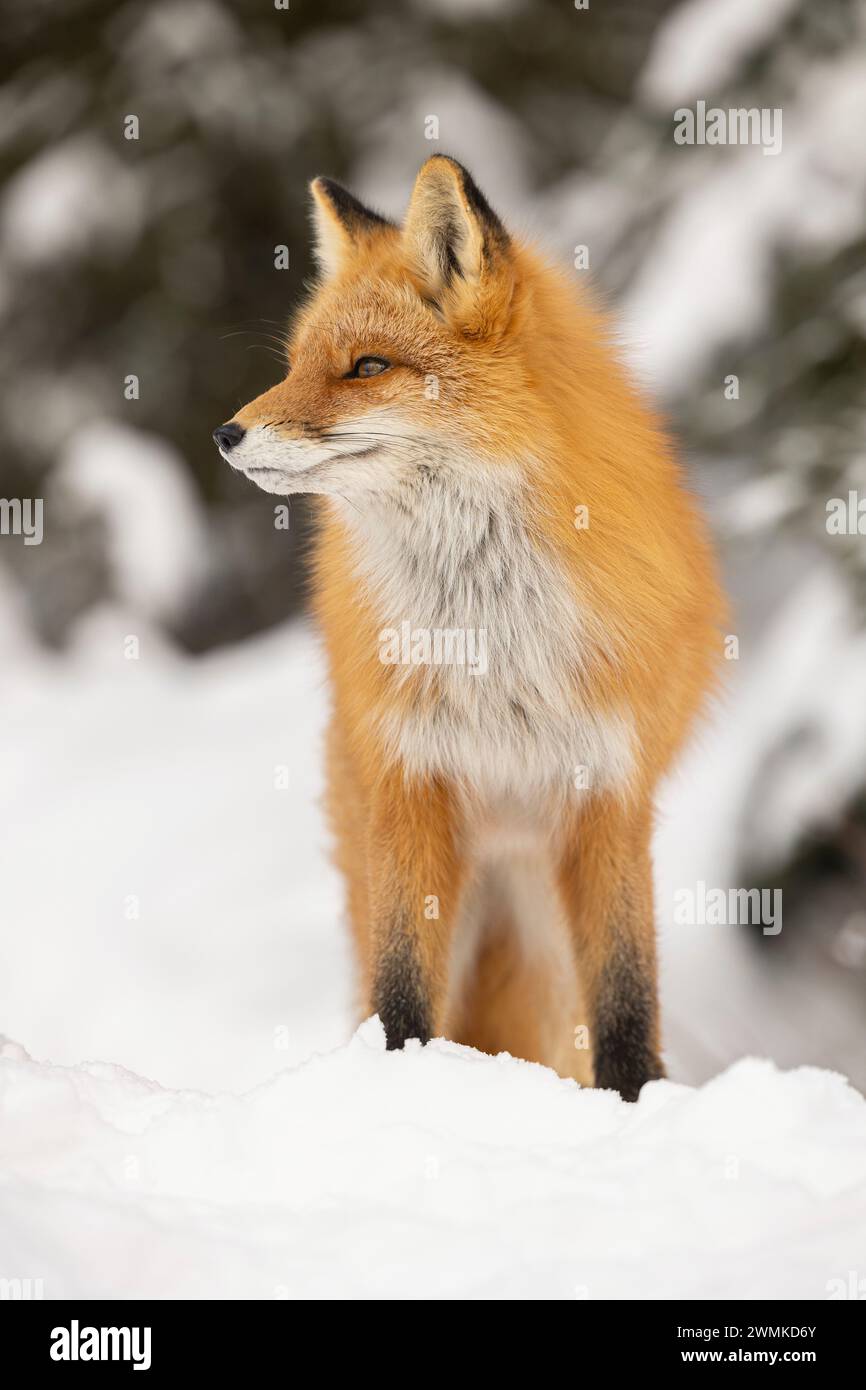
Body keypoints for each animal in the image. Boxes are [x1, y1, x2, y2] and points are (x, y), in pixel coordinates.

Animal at [214, 156, 725, 1100]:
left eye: (366, 366)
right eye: (297, 364)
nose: (226, 434)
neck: (490, 643)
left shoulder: (609, 793)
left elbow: (627, 1000)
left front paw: (636, 1103)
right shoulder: (410, 785)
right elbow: (402, 992)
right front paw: (397, 1084)